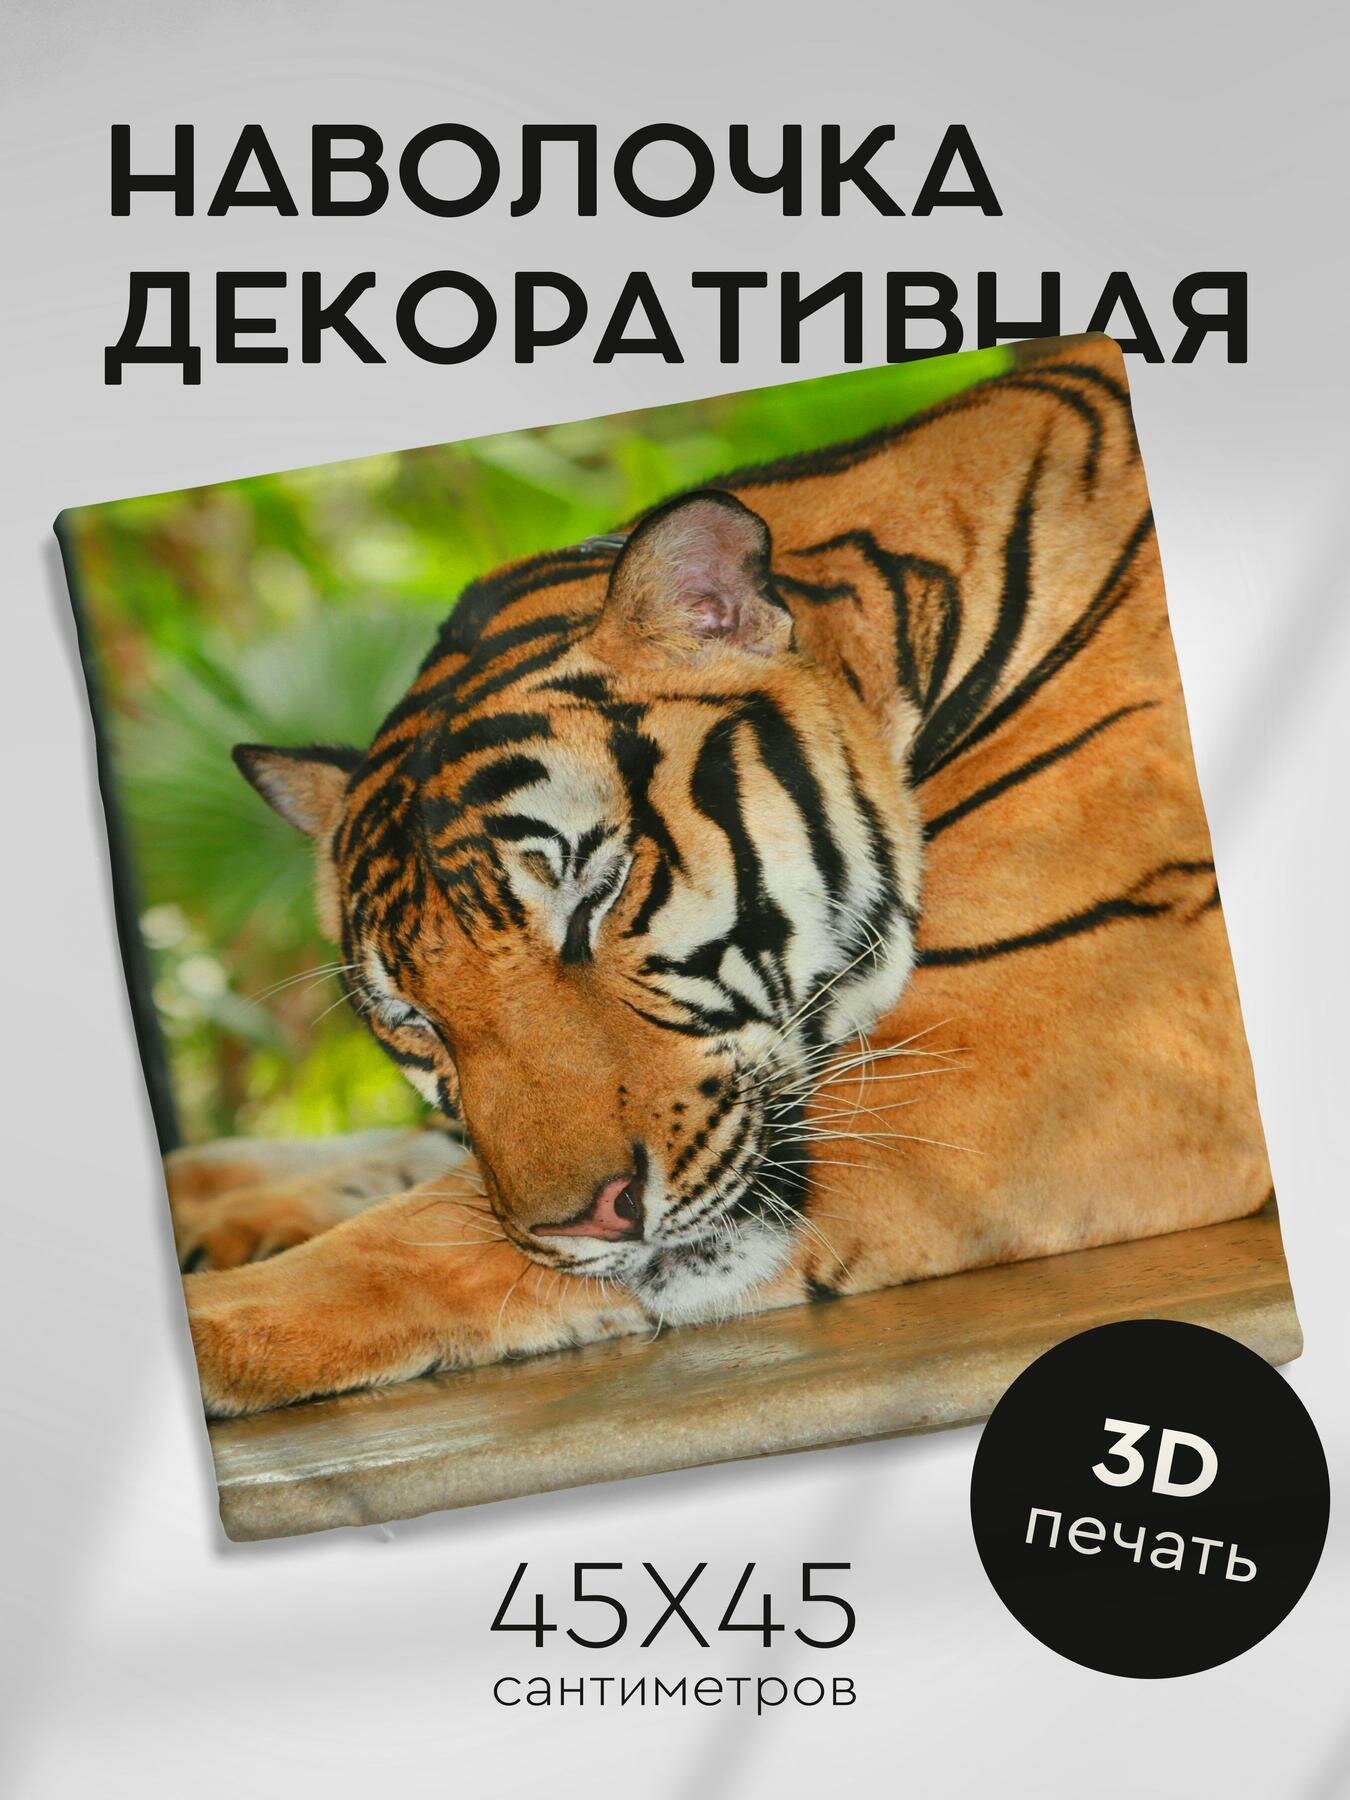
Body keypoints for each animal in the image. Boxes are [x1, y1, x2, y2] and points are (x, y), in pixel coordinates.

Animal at [171, 334, 1273, 1419]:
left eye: (597, 896)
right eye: (413, 1022)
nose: (591, 1222)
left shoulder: (1048, 1048)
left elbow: (419, 1236)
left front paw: (209, 1317)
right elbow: (429, 1166)